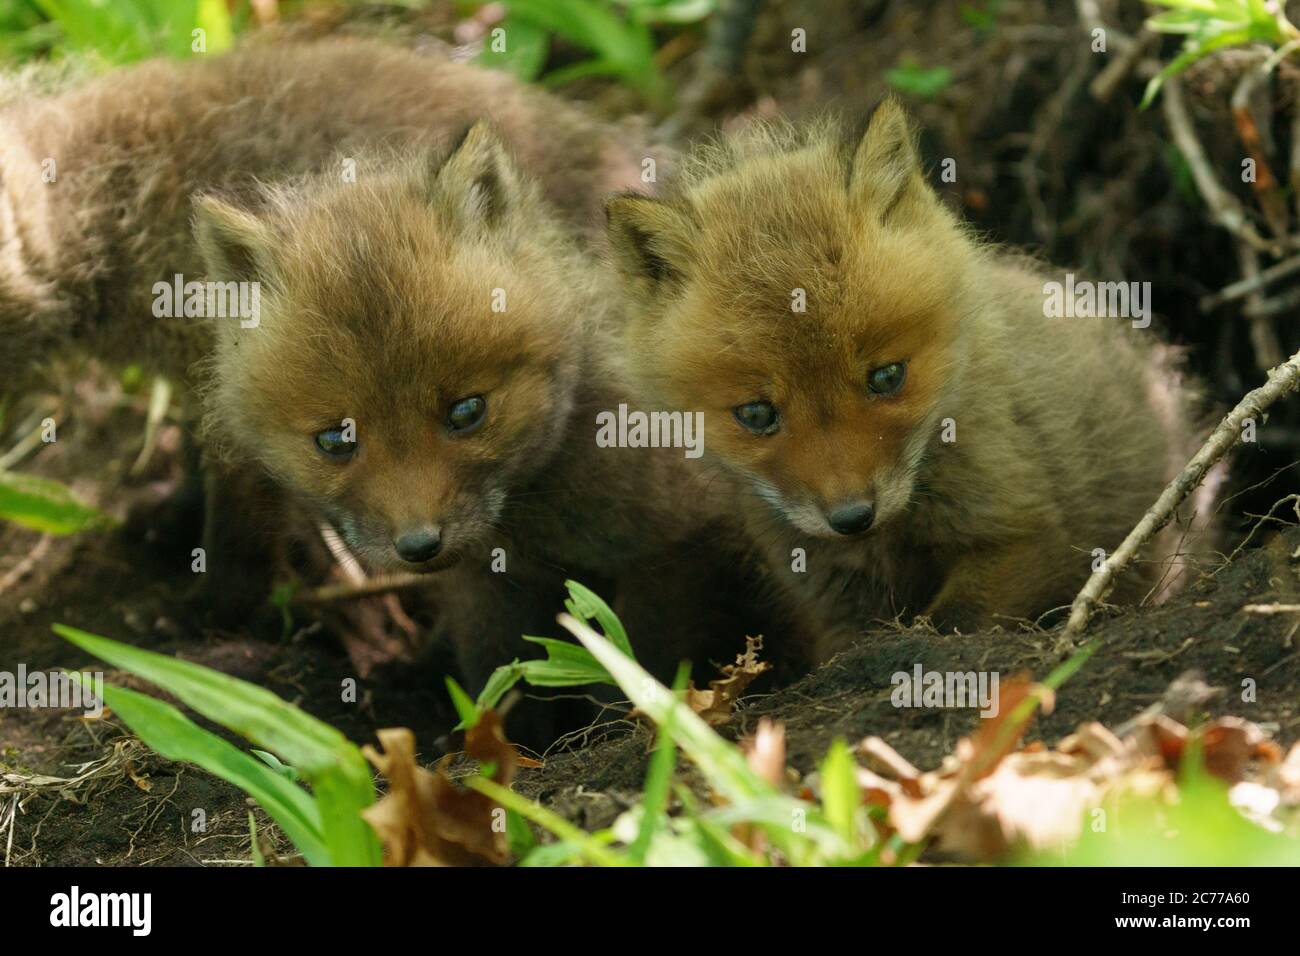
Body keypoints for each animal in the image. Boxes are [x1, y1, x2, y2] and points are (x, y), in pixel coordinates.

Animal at [605, 100, 1217, 661]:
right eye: (756, 414)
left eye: (887, 376)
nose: (852, 518)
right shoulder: (827, 591)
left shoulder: (1027, 531)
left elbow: (953, 622)